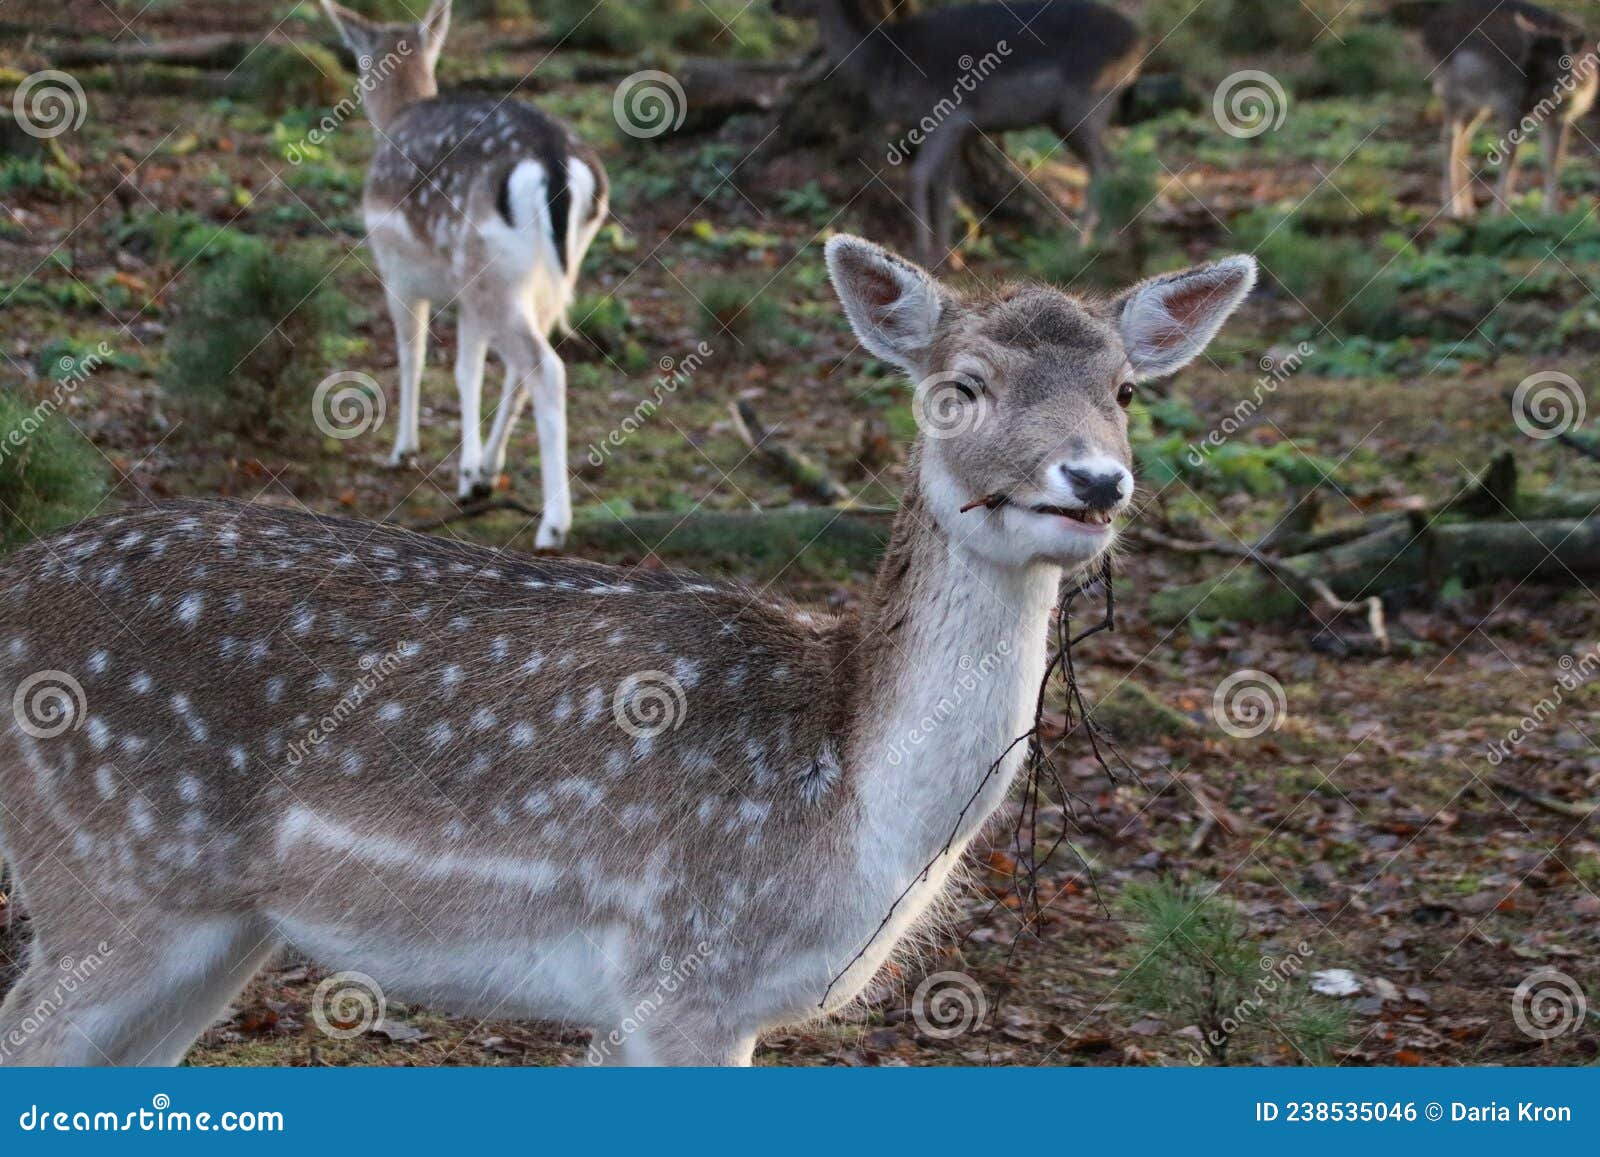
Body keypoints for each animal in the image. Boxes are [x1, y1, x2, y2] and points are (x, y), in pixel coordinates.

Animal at [0, 235, 1255, 1066]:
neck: (851, 814)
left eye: (1126, 389)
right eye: (961, 387)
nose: (1093, 481)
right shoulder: (680, 973)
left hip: (219, 927)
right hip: (109, 881)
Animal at [319, 0, 609, 547]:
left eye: (358, 59)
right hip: (543, 270)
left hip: (485, 264)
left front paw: (405, 450)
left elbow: (414, 357)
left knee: (546, 367)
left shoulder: (397, 270)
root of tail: (555, 162)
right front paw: (472, 473)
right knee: (526, 363)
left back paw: (553, 526)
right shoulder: (465, 291)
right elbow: (467, 369)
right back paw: (496, 475)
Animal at [773, 0, 1143, 264]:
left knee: (1106, 166)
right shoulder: (958, 127)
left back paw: (1083, 243)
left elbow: (920, 176)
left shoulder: (949, 115)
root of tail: (1139, 42)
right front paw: (946, 252)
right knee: (1111, 166)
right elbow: (944, 183)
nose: (775, 5)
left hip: (1085, 104)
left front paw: (923, 253)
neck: (883, 62)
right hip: (1066, 116)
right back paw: (1115, 242)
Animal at [1424, 0, 1597, 219]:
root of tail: (1429, 29)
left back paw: (1468, 207)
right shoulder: (1509, 110)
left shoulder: (1561, 117)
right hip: (1451, 89)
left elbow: (1553, 161)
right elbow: (1510, 159)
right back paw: (1452, 208)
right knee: (1449, 136)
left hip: (1477, 102)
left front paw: (1549, 215)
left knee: (1464, 136)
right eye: (1522, 66)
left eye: (1549, 73)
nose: (1522, 103)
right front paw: (1499, 215)